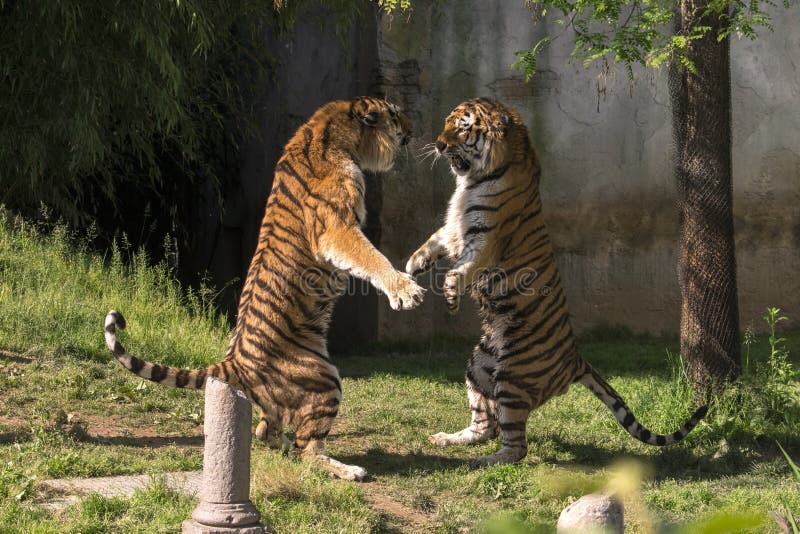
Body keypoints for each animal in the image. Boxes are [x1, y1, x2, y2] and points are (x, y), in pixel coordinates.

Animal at [104, 97, 424, 481]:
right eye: (396, 115)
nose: (413, 130)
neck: (331, 132)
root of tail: (234, 362)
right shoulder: (337, 228)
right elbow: (372, 258)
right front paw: (406, 291)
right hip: (325, 379)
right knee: (308, 450)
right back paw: (348, 470)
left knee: (264, 431)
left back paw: (286, 447)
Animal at [406, 97, 707, 466]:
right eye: (447, 124)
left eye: (462, 127)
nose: (438, 144)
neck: (477, 177)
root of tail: (575, 359)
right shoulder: (453, 228)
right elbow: (432, 243)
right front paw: (412, 266)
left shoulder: (485, 239)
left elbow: (459, 270)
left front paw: (450, 295)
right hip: (479, 365)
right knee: (485, 426)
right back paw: (448, 439)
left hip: (513, 376)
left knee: (516, 446)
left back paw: (486, 460)